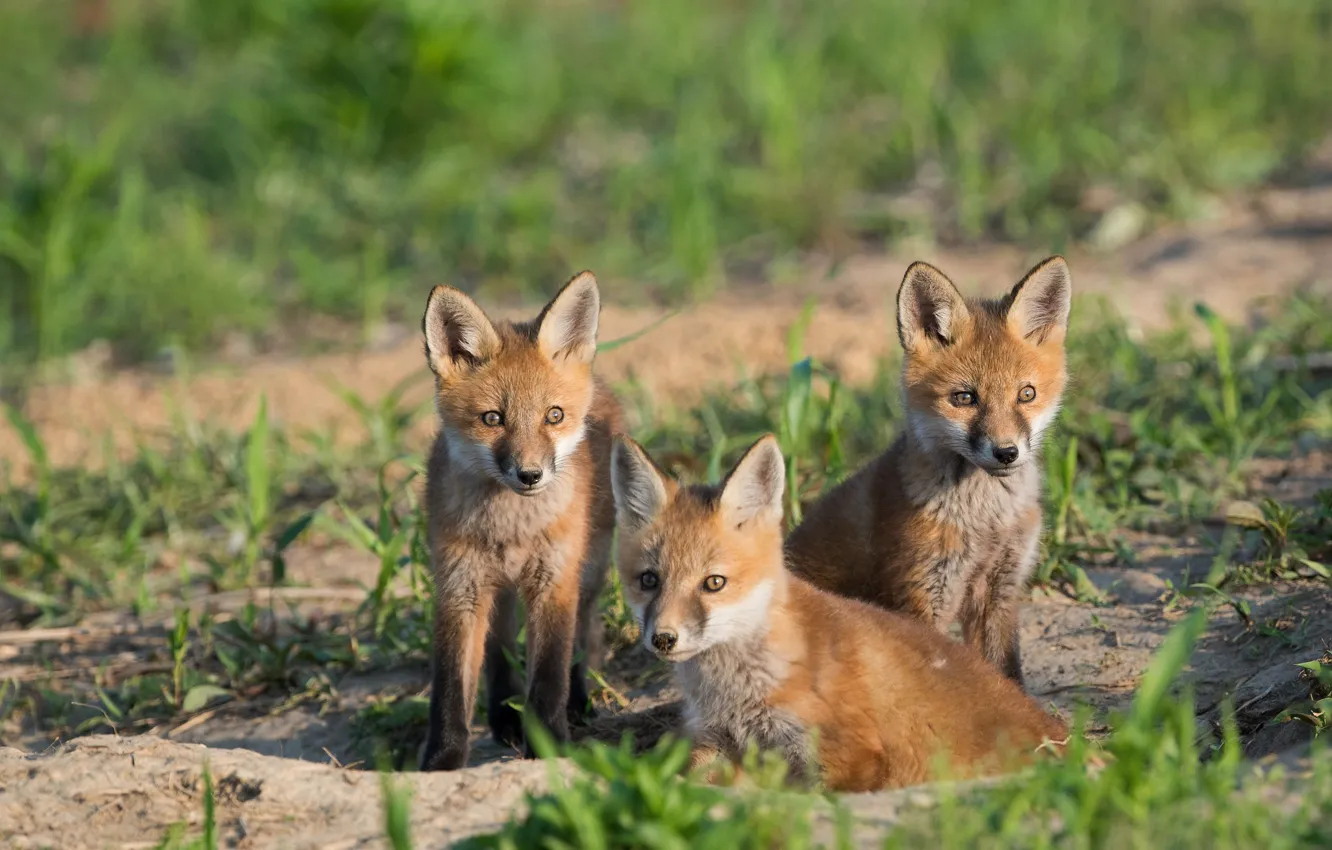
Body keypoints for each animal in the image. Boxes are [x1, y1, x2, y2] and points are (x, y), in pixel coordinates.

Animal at [417, 271, 622, 772]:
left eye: (554, 416)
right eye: (493, 419)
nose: (530, 475)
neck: (510, 531)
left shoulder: (554, 582)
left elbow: (548, 674)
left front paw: (548, 745)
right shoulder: (459, 587)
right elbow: (450, 687)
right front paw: (442, 762)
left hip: (587, 569)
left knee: (584, 636)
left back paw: (577, 702)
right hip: (497, 590)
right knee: (501, 649)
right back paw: (505, 718)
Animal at [610, 433, 1067, 792]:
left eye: (714, 583)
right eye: (649, 580)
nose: (663, 638)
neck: (736, 693)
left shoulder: (851, 756)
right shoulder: (711, 737)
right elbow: (681, 776)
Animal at [784, 256, 1072, 688]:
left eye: (1027, 394)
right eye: (964, 398)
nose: (1007, 452)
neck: (986, 522)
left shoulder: (1000, 591)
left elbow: (1006, 676)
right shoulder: (922, 594)